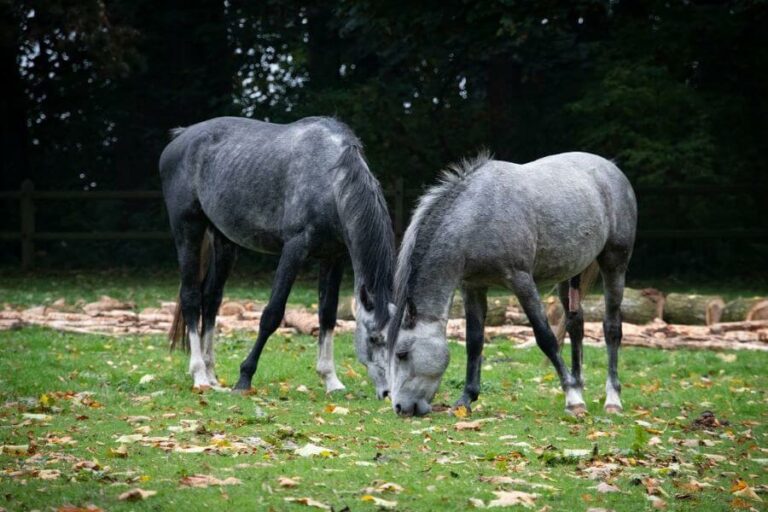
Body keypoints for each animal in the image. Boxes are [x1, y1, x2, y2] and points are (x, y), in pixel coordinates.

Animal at [158, 116, 395, 397]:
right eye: (373, 338)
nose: (389, 393)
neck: (330, 177)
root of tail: (180, 136)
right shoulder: (294, 249)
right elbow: (272, 314)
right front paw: (244, 378)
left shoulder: (333, 257)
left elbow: (327, 315)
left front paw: (331, 379)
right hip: (188, 231)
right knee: (191, 297)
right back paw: (199, 376)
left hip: (224, 242)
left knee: (211, 298)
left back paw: (212, 375)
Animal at [387, 151, 637, 417]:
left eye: (402, 354)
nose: (401, 407)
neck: (476, 216)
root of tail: (610, 167)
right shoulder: (472, 287)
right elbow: (474, 341)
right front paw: (465, 399)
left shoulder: (521, 281)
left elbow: (545, 337)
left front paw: (573, 398)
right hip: (570, 274)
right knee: (575, 325)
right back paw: (579, 383)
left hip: (614, 264)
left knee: (612, 328)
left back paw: (612, 399)